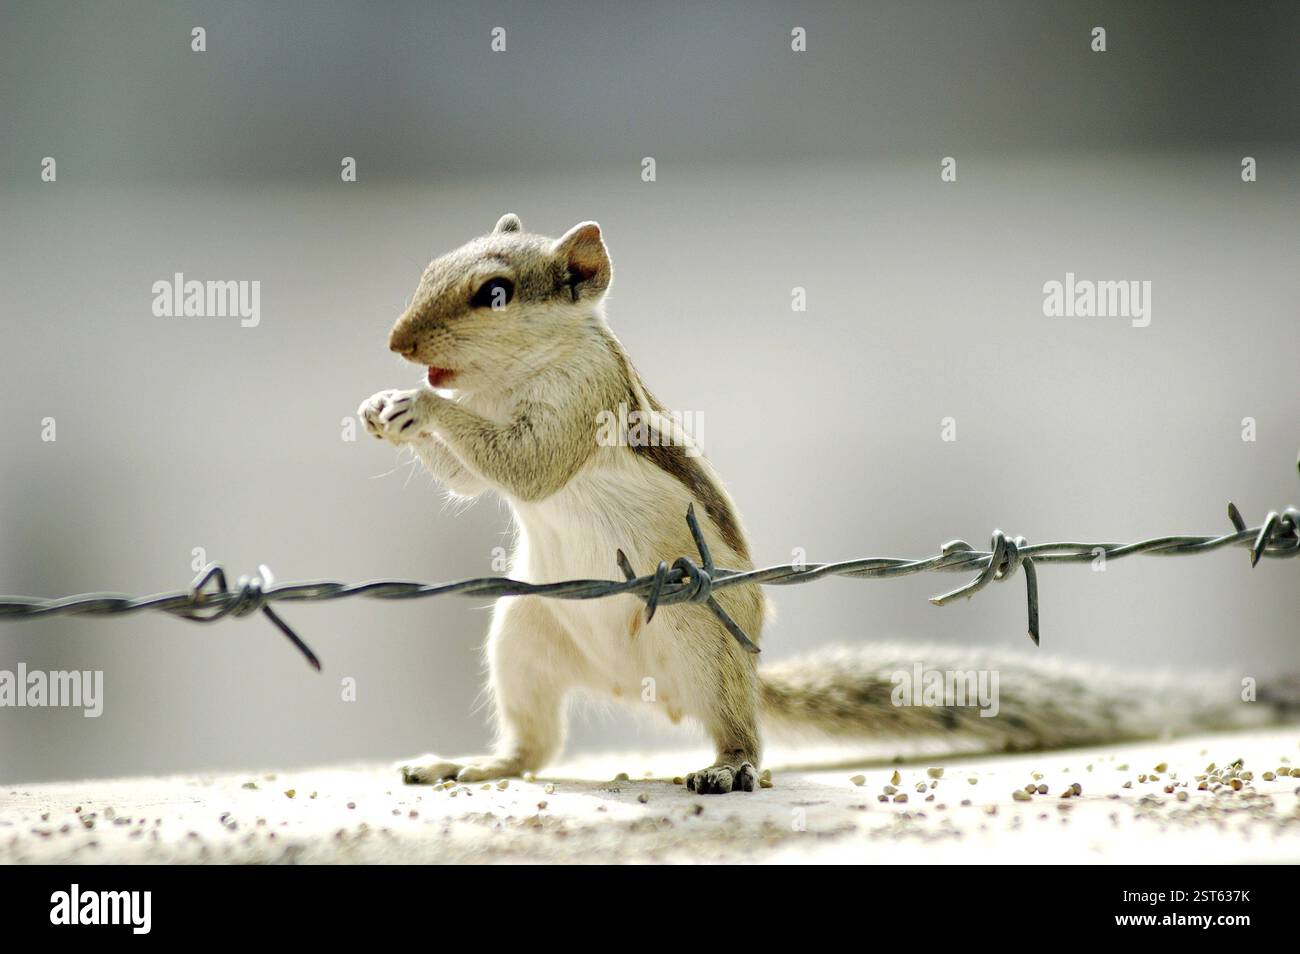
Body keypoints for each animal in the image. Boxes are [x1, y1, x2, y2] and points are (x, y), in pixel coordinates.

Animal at [359, 214, 1293, 793]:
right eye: (430, 271)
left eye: (494, 294)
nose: (398, 342)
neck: (518, 373)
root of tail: (644, 689)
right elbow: (473, 482)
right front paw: (384, 409)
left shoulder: (578, 406)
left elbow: (523, 468)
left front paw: (422, 405)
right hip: (524, 637)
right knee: (533, 745)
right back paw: (472, 766)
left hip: (695, 631)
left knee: (736, 731)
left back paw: (729, 766)